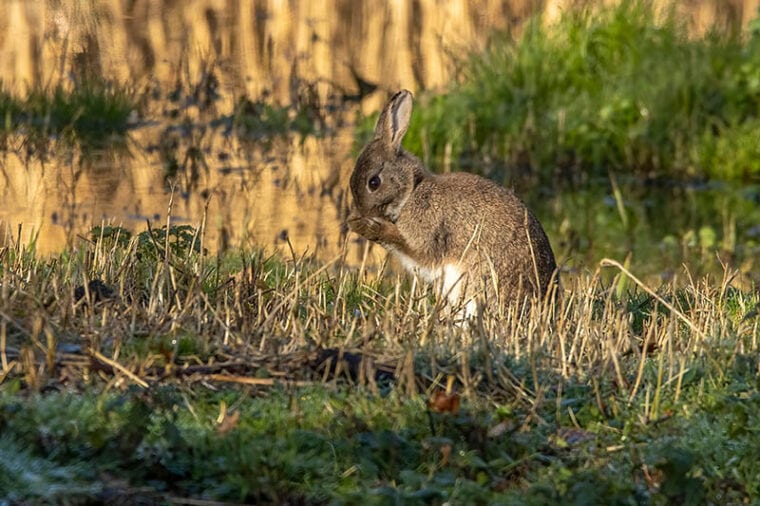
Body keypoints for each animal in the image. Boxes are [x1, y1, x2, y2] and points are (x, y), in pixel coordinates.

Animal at [348, 90, 558, 316]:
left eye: (374, 182)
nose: (360, 213)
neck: (413, 190)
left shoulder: (427, 237)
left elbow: (411, 248)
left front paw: (368, 226)